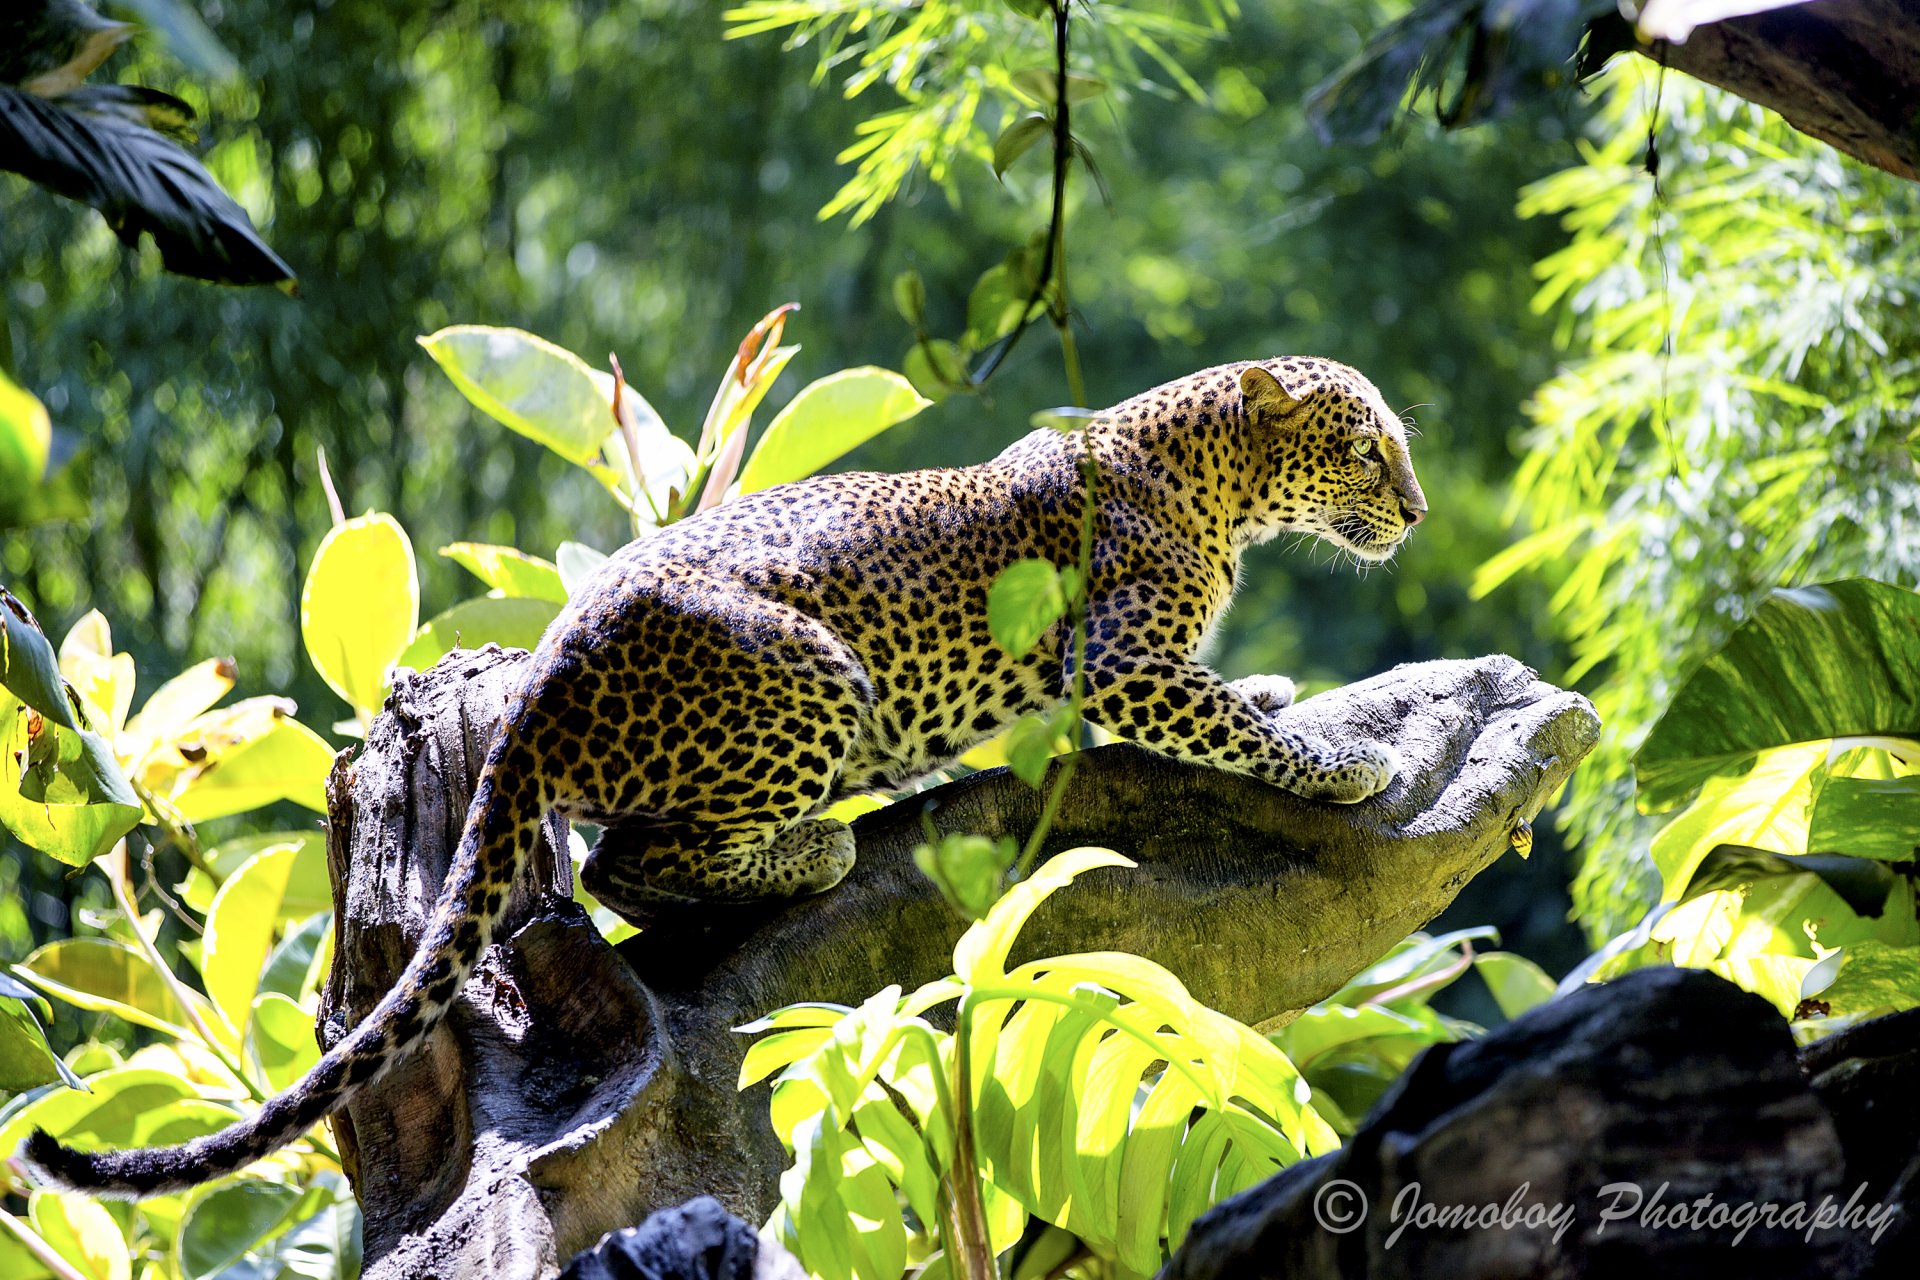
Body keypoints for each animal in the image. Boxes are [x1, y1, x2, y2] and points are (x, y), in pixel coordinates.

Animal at [21, 355, 1427, 1197]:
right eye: (1368, 452)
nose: (1413, 511)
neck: (1218, 481)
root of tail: (543, 672)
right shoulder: (1122, 658)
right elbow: (1215, 720)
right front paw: (1342, 764)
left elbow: (1224, 701)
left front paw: (1277, 689)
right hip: (816, 674)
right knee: (624, 862)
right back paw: (821, 845)